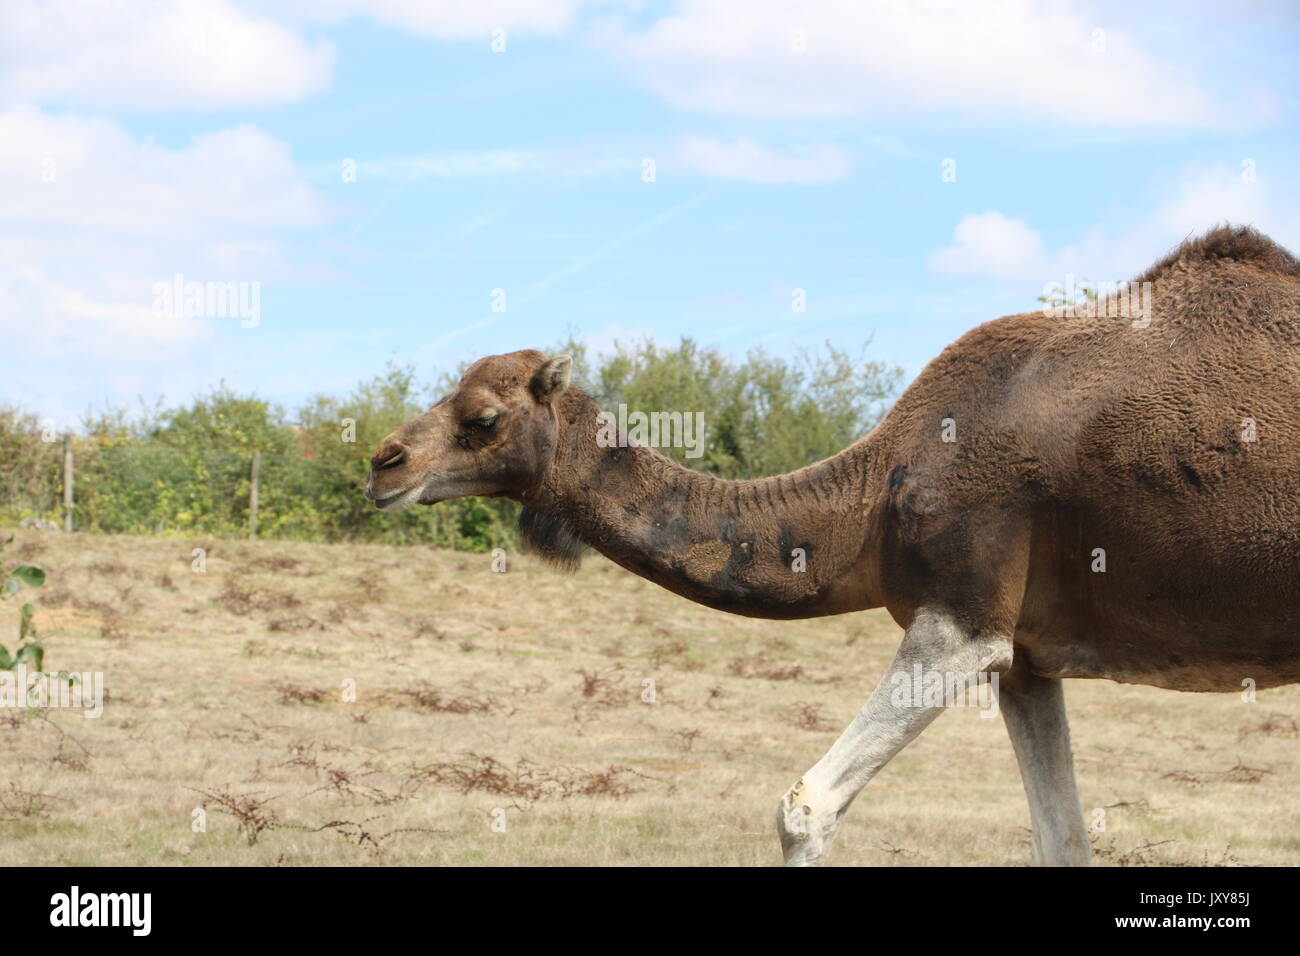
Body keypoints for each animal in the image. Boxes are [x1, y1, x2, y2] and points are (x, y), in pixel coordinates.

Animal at [365, 225, 1300, 866]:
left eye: (483, 417)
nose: (384, 461)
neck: (878, 488)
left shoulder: (960, 617)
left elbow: (803, 806)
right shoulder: (1025, 656)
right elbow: (1063, 837)